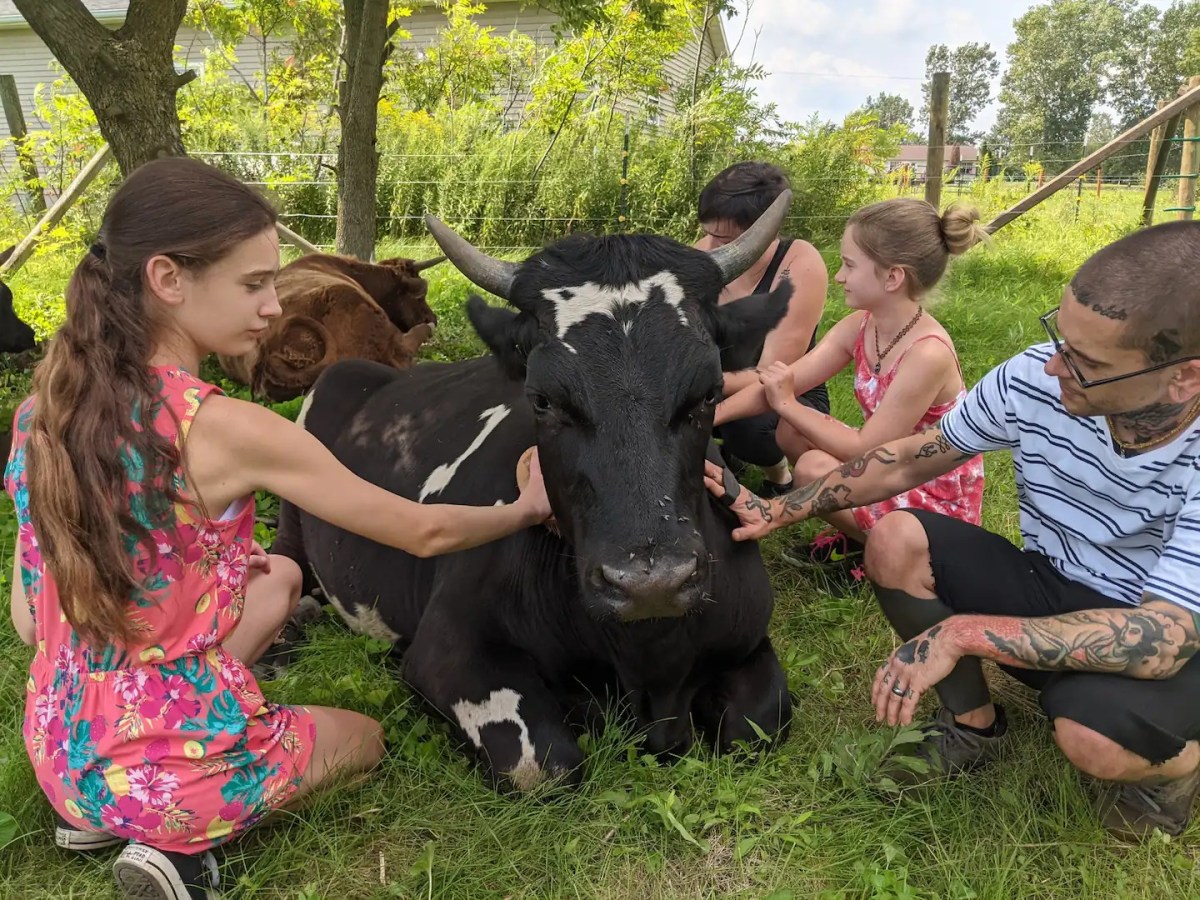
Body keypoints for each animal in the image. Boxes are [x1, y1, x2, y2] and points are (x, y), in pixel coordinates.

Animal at [271, 194, 796, 791]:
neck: (649, 664)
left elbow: (756, 727)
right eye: (542, 399)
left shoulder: (748, 638)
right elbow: (545, 765)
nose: (651, 584)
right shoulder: (448, 648)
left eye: (710, 392)